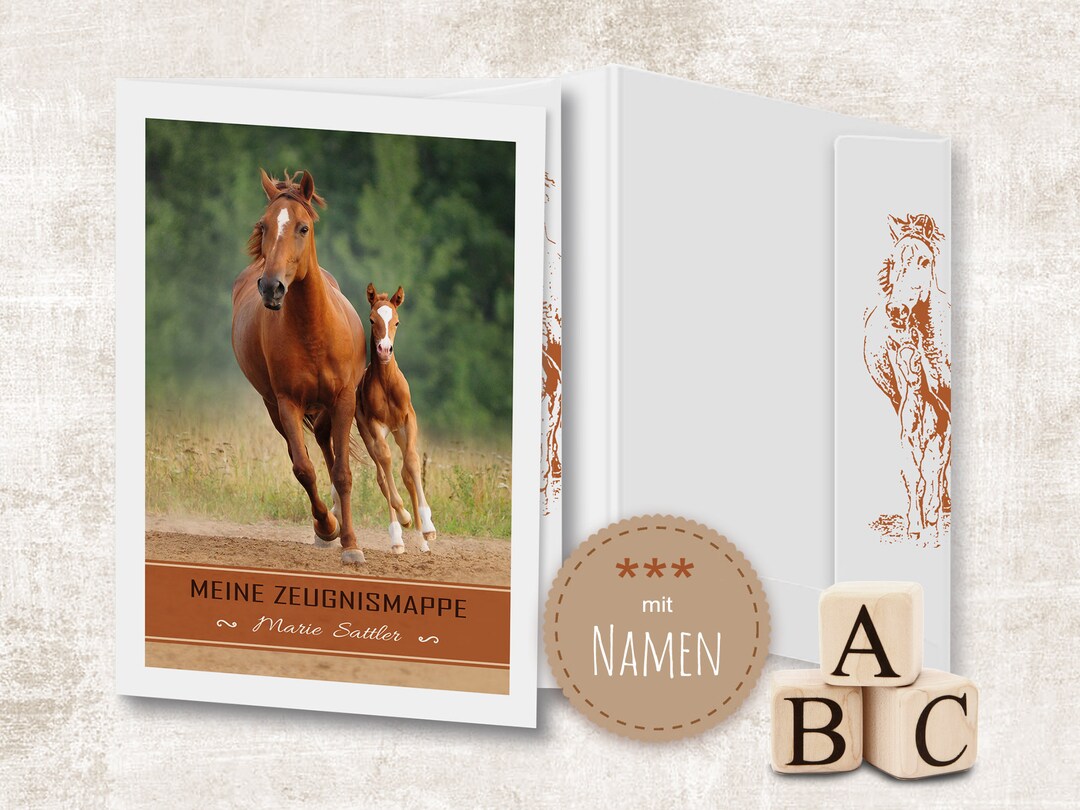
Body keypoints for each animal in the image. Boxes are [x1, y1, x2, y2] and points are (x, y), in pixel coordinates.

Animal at [231, 169, 368, 564]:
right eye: (264, 225)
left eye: (303, 227)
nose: (271, 287)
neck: (313, 330)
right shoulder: (287, 403)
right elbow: (304, 469)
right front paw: (327, 528)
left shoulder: (344, 399)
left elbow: (342, 472)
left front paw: (351, 544)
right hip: (274, 407)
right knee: (307, 452)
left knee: (327, 445)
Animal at [355, 284, 438, 554]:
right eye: (372, 319)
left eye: (397, 322)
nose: (384, 350)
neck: (387, 384)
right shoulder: (375, 426)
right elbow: (386, 462)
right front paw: (404, 518)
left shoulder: (408, 420)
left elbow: (411, 463)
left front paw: (428, 528)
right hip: (367, 434)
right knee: (382, 475)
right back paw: (397, 538)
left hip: (399, 432)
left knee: (404, 473)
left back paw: (421, 539)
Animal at [863, 213, 951, 540]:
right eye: (893, 261)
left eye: (925, 261)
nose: (897, 311)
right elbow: (917, 466)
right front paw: (919, 520)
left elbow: (937, 460)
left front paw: (933, 513)